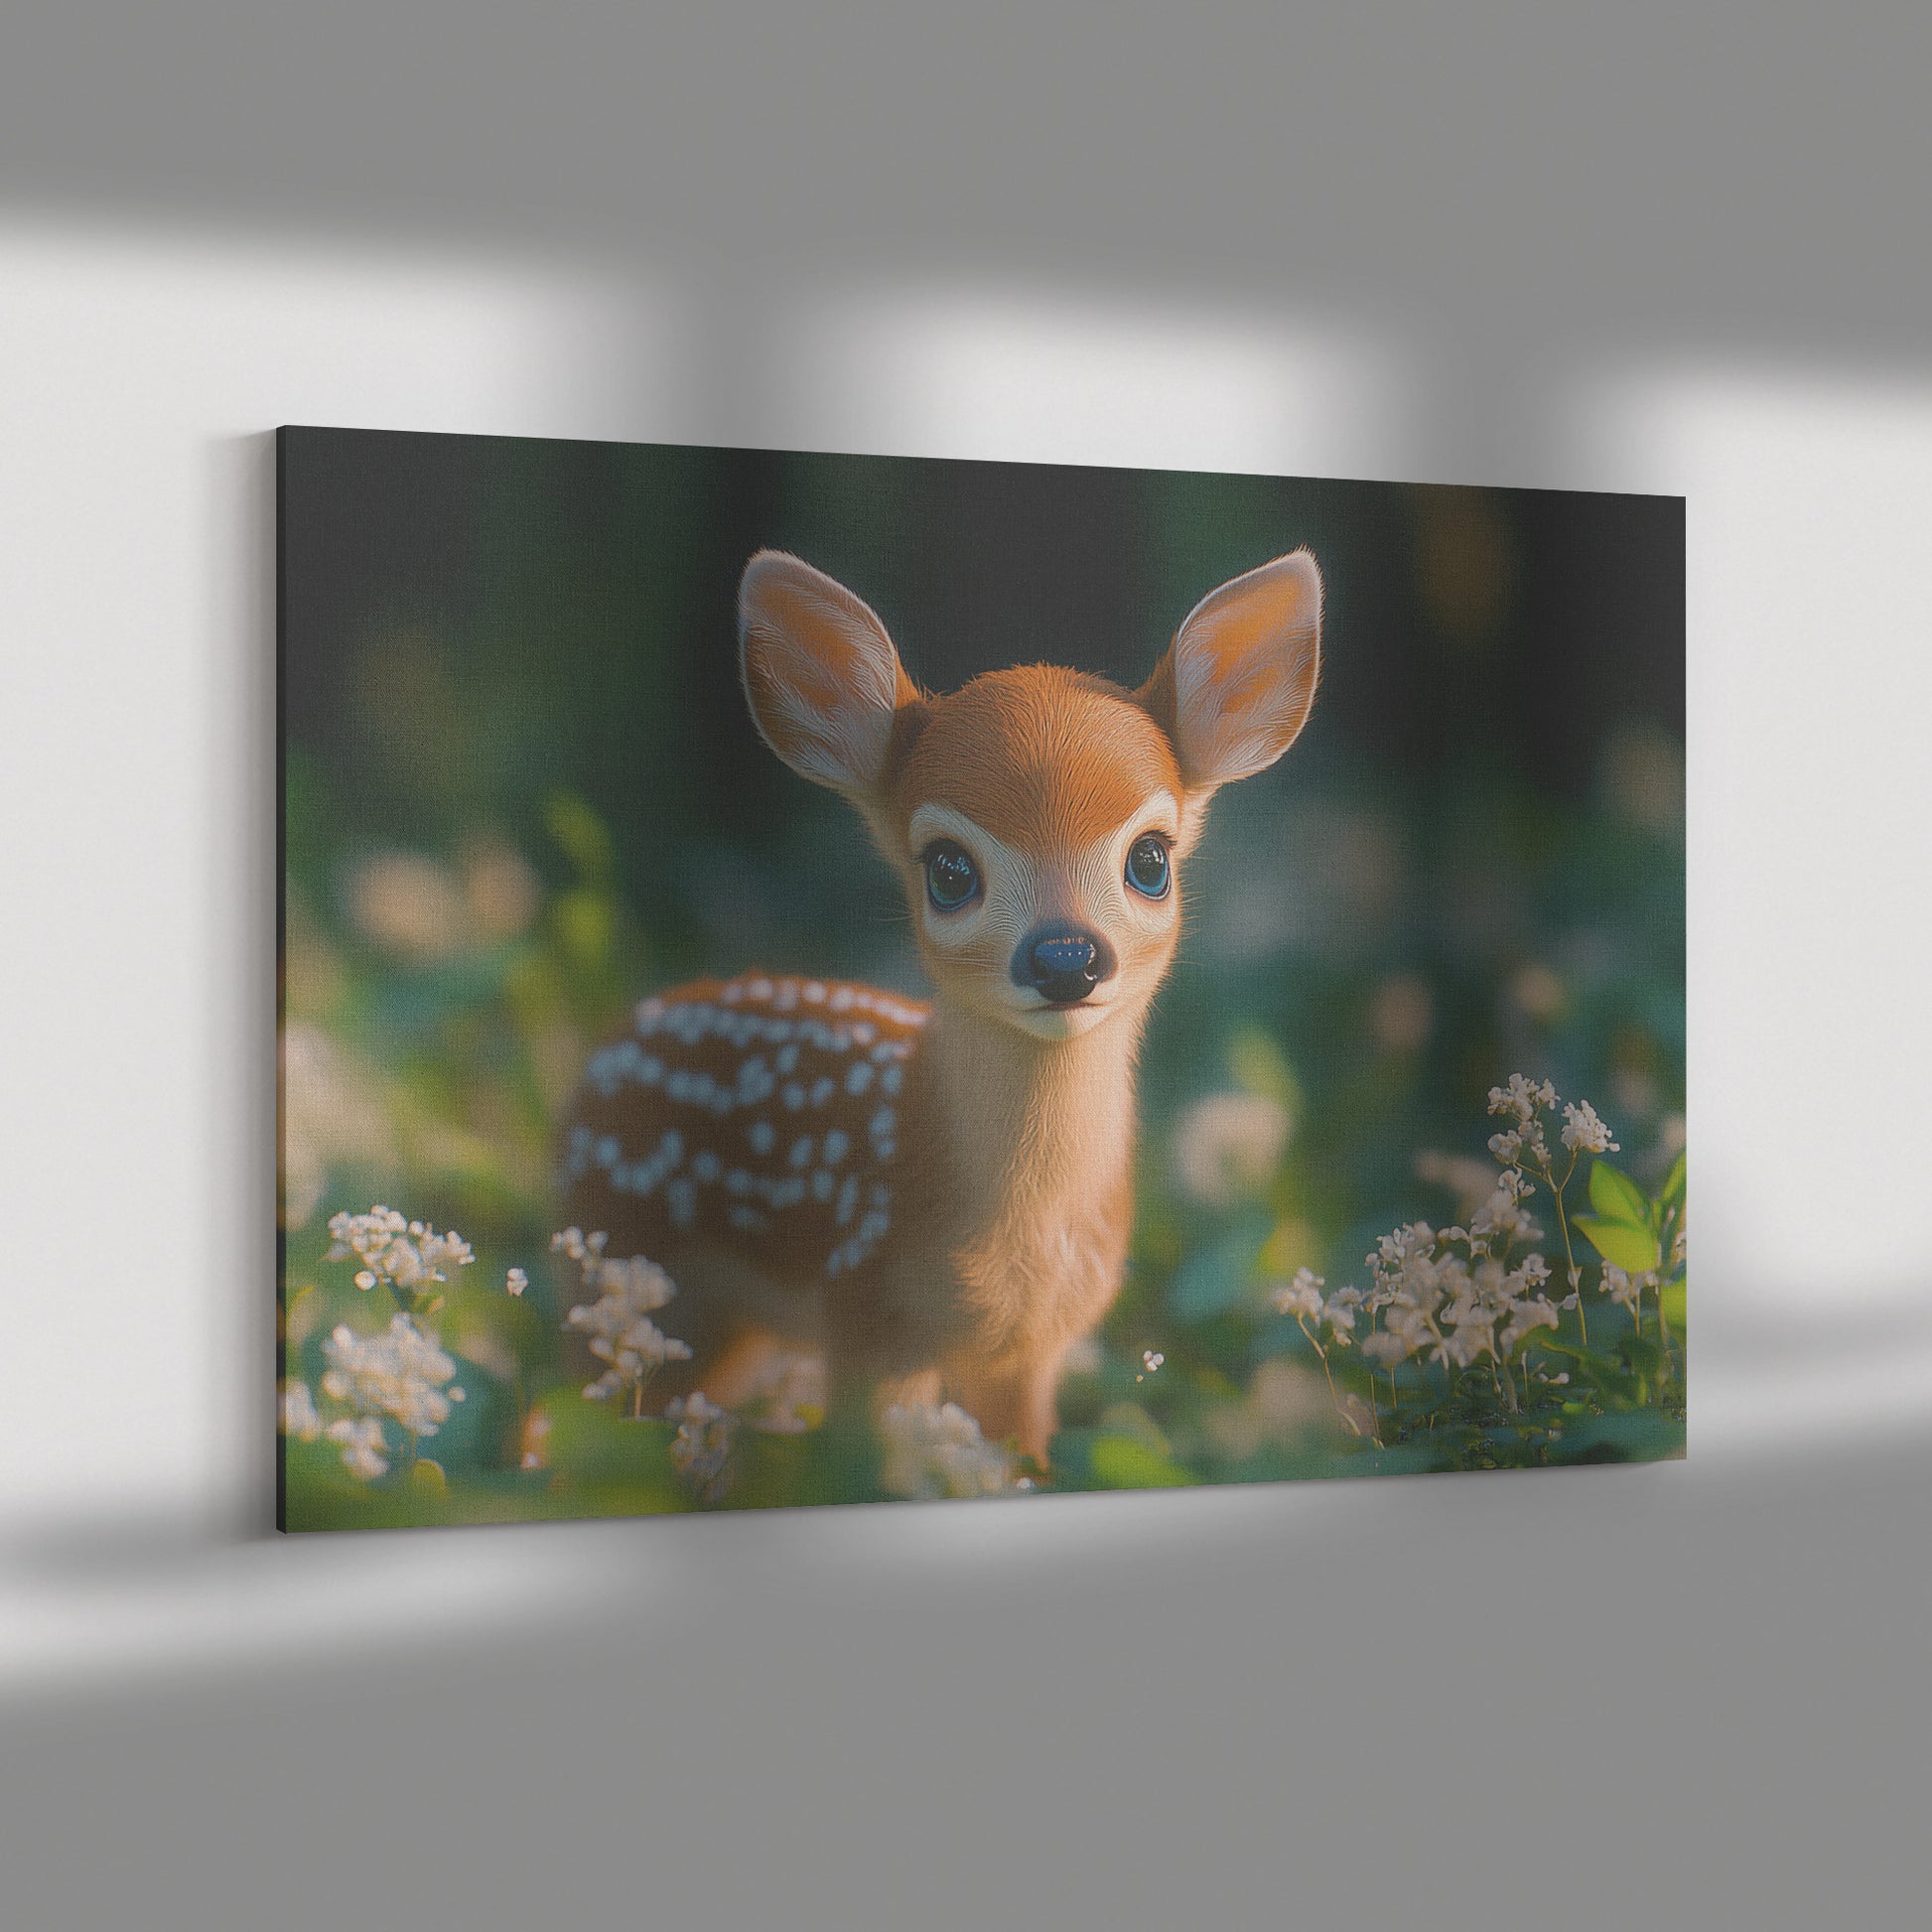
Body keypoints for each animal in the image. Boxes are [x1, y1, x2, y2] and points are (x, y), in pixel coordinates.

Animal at [558, 545, 1323, 1465]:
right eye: (950, 869)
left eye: (1150, 859)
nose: (1066, 958)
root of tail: (610, 1045)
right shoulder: (865, 1305)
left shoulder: (1034, 1350)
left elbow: (1025, 1459)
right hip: (618, 1249)